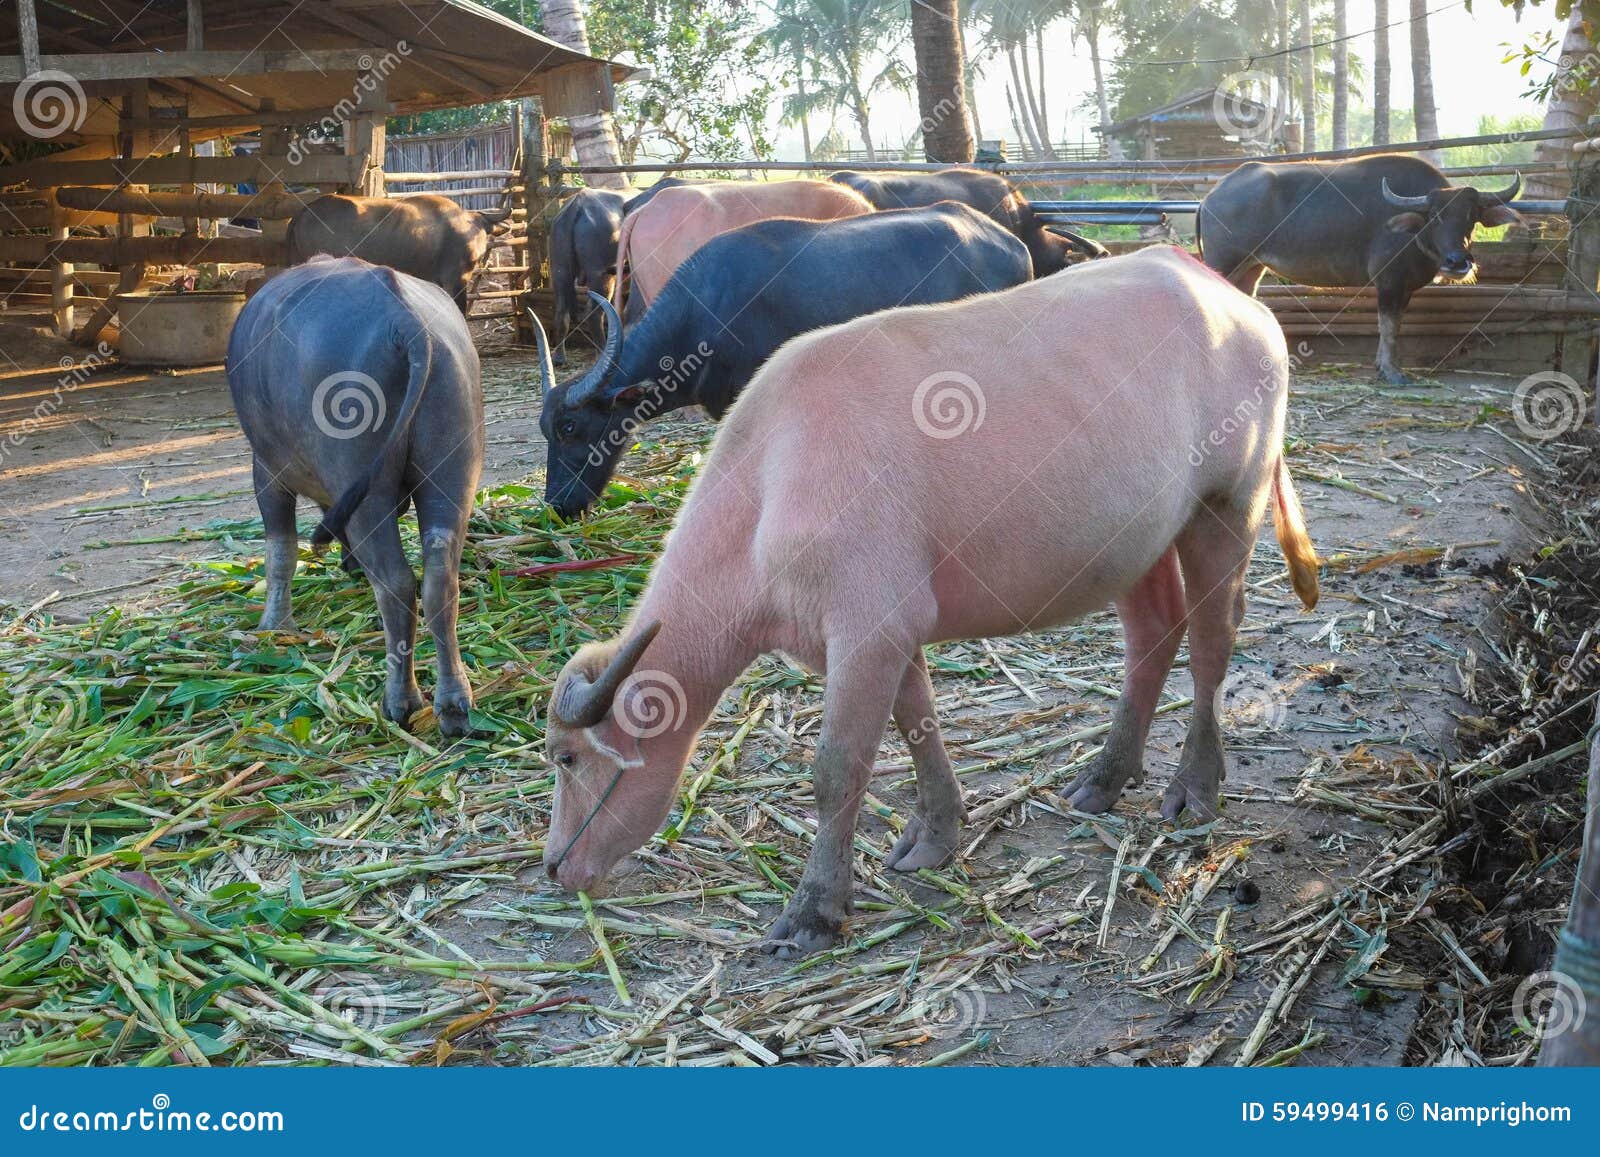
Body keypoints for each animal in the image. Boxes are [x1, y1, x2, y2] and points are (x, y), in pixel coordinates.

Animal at [1198, 155, 1521, 383]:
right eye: (1434, 217)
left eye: (1472, 215)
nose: (1457, 261)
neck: (1411, 231)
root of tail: (1212, 195)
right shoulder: (1389, 281)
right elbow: (1388, 325)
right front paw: (1392, 372)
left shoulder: (1404, 288)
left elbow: (1395, 325)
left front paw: (1383, 365)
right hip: (1222, 262)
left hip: (1251, 267)